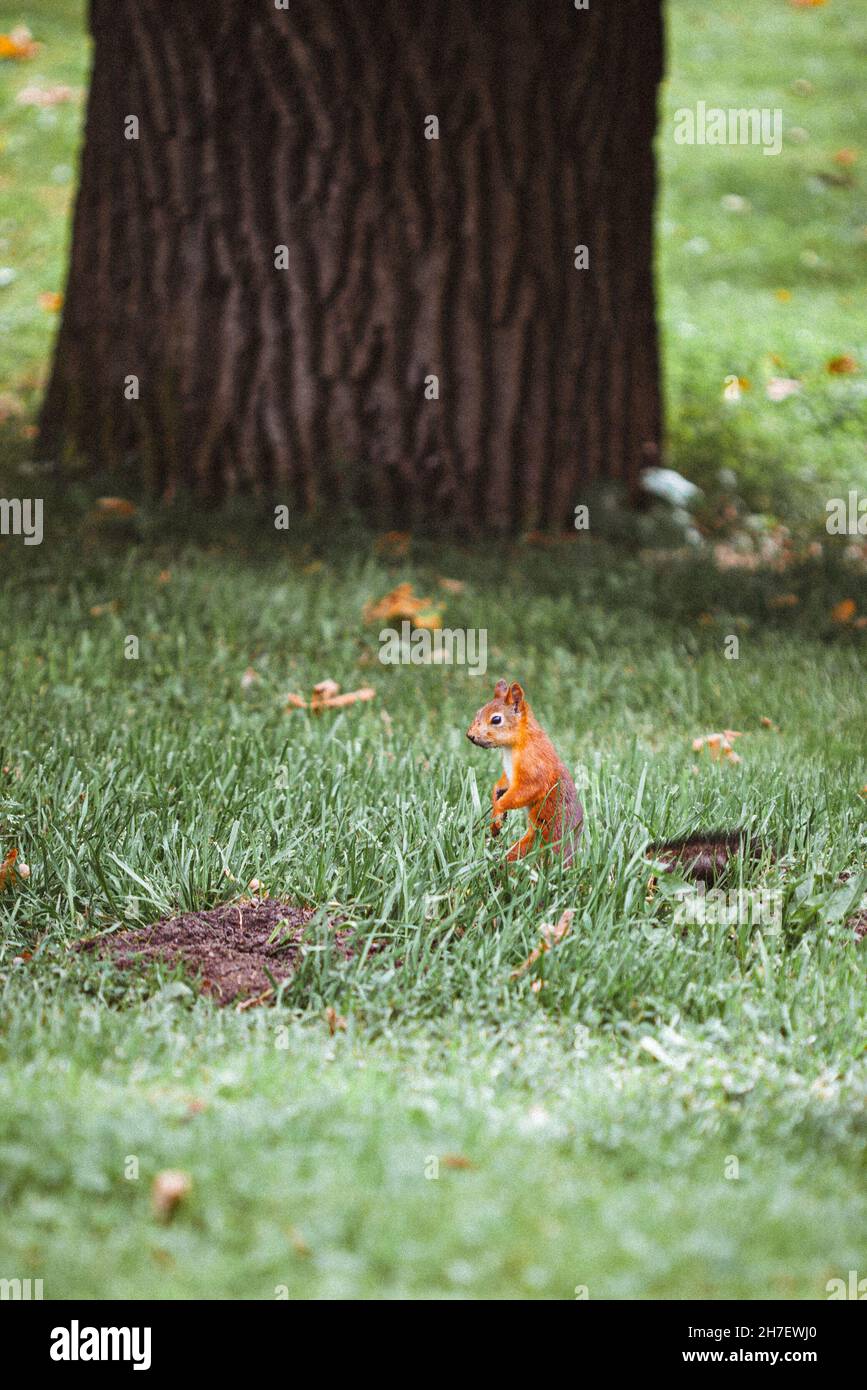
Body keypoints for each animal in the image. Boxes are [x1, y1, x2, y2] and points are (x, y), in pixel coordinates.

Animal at [467, 679, 765, 879]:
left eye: (496, 719)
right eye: (478, 712)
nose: (470, 736)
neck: (515, 745)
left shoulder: (535, 767)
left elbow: (526, 790)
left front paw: (499, 809)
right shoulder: (510, 772)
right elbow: (504, 784)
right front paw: (496, 800)